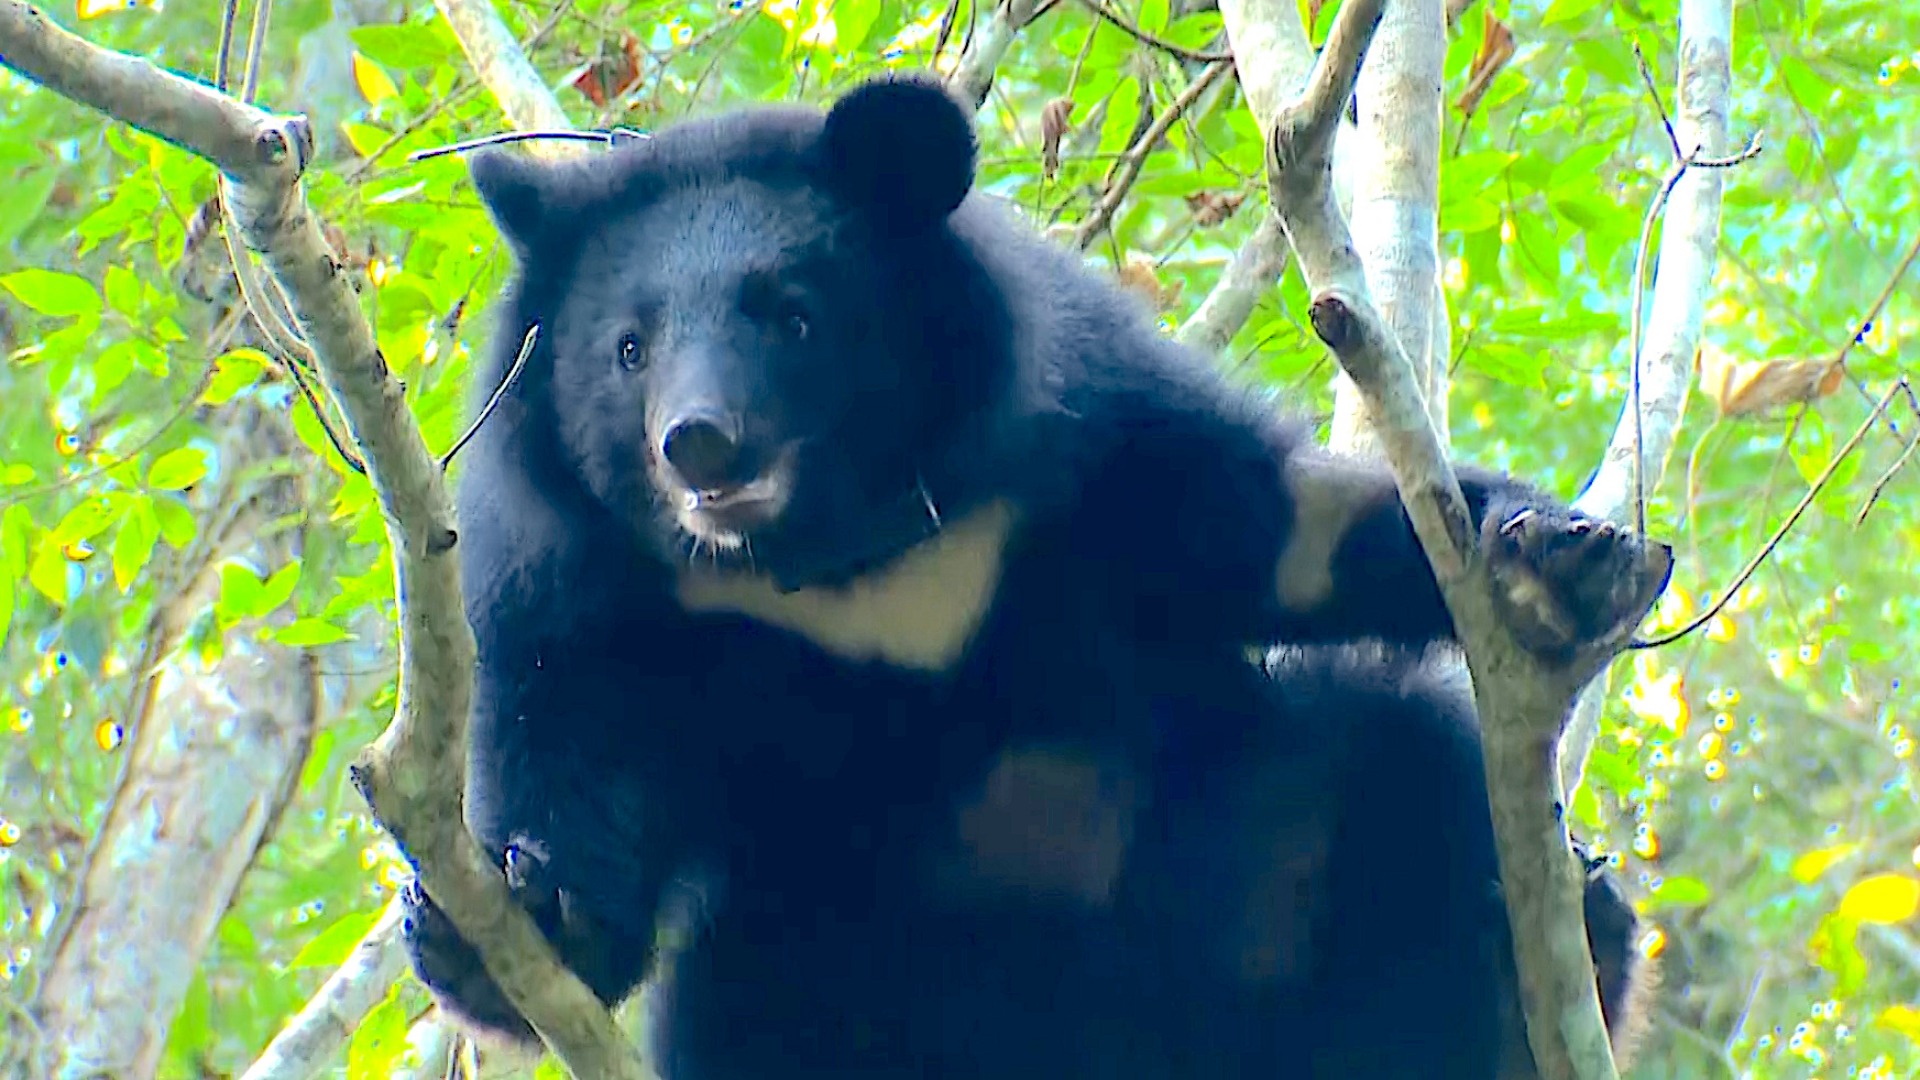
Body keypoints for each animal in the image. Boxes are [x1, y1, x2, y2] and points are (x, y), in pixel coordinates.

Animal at [396, 72, 1667, 1078]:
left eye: (793, 317)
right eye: (628, 350)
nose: (700, 446)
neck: (844, 560)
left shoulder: (1083, 444)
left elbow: (1279, 528)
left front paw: (1563, 564)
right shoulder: (579, 584)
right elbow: (565, 740)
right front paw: (502, 912)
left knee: (1404, 775)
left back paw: (1565, 941)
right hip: (818, 962)